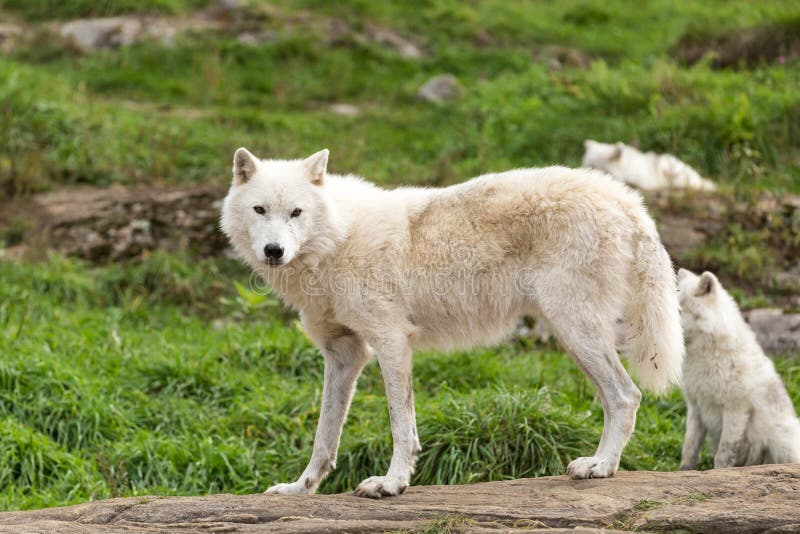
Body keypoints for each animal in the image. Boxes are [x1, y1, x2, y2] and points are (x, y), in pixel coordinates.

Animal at [220, 147, 684, 498]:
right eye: (260, 210)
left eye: (296, 212)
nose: (274, 250)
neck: (337, 238)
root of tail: (627, 200)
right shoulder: (344, 356)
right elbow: (324, 436)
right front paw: (301, 488)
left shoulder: (391, 342)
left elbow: (400, 426)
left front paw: (391, 484)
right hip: (579, 336)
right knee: (618, 397)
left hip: (576, 331)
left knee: (626, 396)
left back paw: (600, 466)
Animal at [677, 268, 800, 470]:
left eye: (679, 310)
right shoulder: (696, 409)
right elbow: (688, 450)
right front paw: (683, 473)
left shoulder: (735, 411)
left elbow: (723, 454)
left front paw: (720, 474)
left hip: (782, 444)